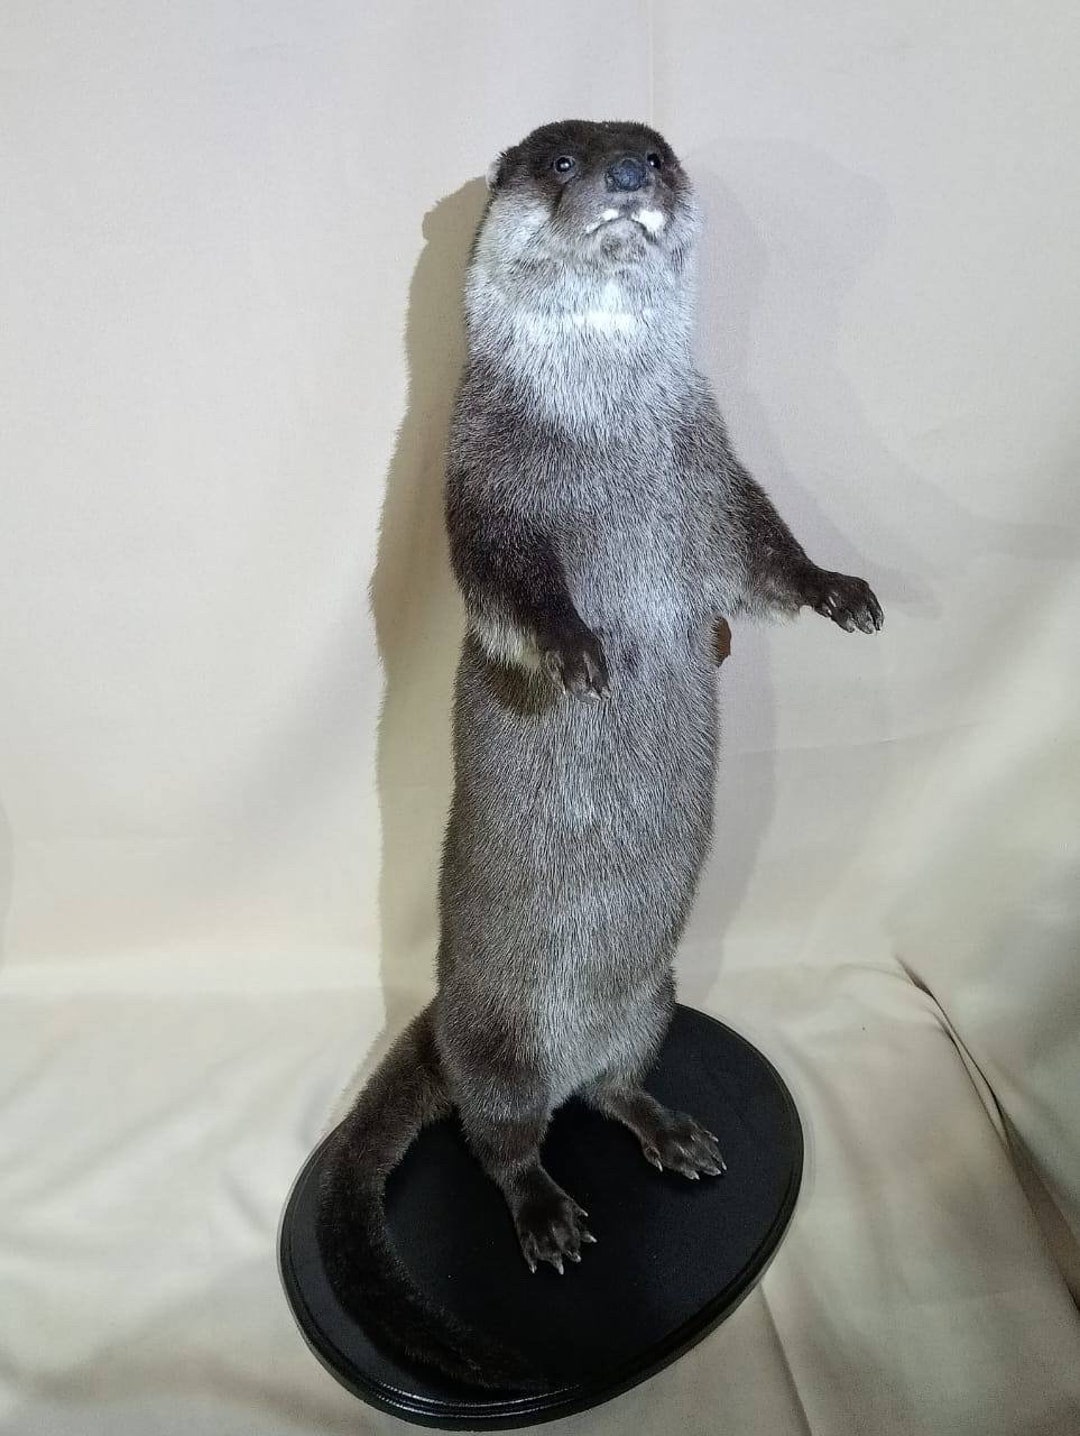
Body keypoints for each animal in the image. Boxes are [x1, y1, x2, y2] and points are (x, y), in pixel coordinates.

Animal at [316, 119, 883, 1390]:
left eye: (657, 152)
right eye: (562, 160)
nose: (628, 172)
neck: (608, 435)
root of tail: (443, 1023)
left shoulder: (719, 479)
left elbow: (767, 558)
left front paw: (841, 588)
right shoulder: (478, 482)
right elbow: (510, 582)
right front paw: (579, 648)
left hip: (651, 999)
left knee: (615, 1086)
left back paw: (670, 1130)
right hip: (496, 1040)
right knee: (499, 1139)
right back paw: (545, 1214)